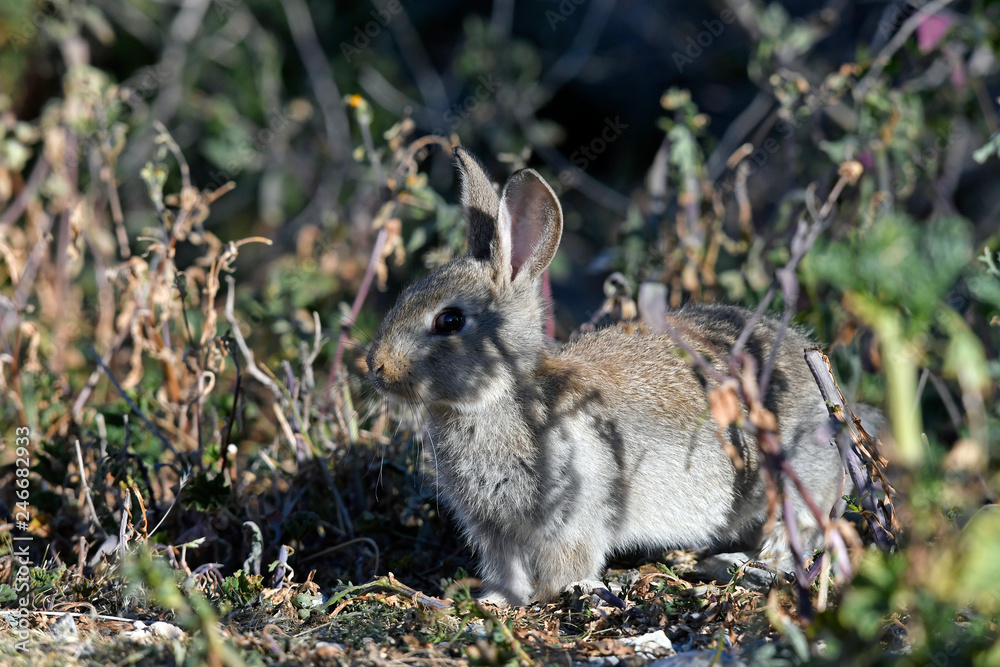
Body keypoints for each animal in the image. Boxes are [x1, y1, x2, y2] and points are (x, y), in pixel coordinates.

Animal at [366, 147, 848, 606]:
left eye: (449, 321)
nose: (377, 367)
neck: (500, 395)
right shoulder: (493, 529)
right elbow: (506, 569)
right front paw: (496, 600)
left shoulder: (573, 514)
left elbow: (568, 562)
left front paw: (547, 596)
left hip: (790, 482)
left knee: (794, 535)